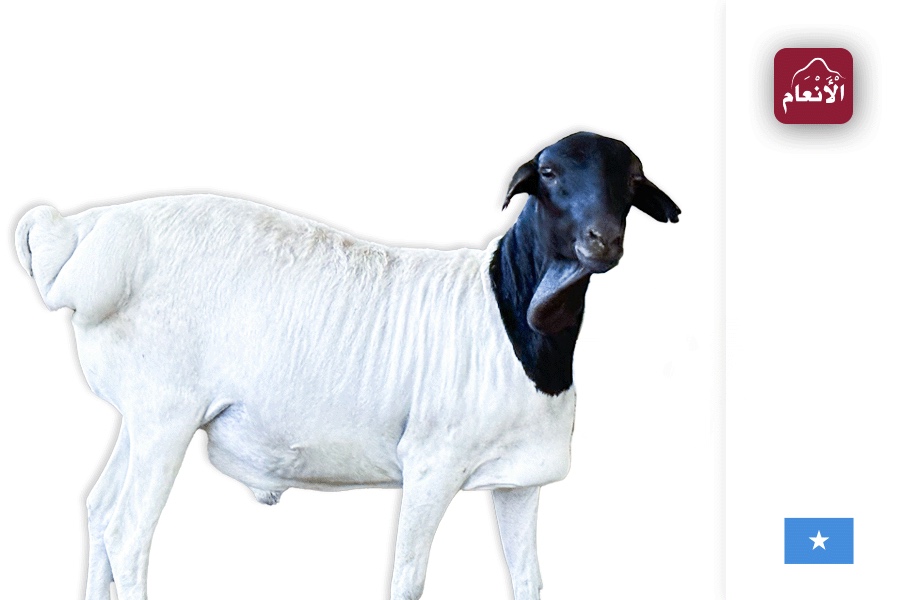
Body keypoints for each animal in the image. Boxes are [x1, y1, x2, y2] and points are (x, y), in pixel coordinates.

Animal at [15, 131, 679, 600]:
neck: (513, 318)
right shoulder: (431, 466)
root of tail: (83, 233)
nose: (602, 240)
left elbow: (527, 579)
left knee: (100, 511)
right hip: (165, 415)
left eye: (633, 178)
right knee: (128, 533)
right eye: (547, 173)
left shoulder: (518, 482)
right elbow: (408, 578)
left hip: (141, 416)